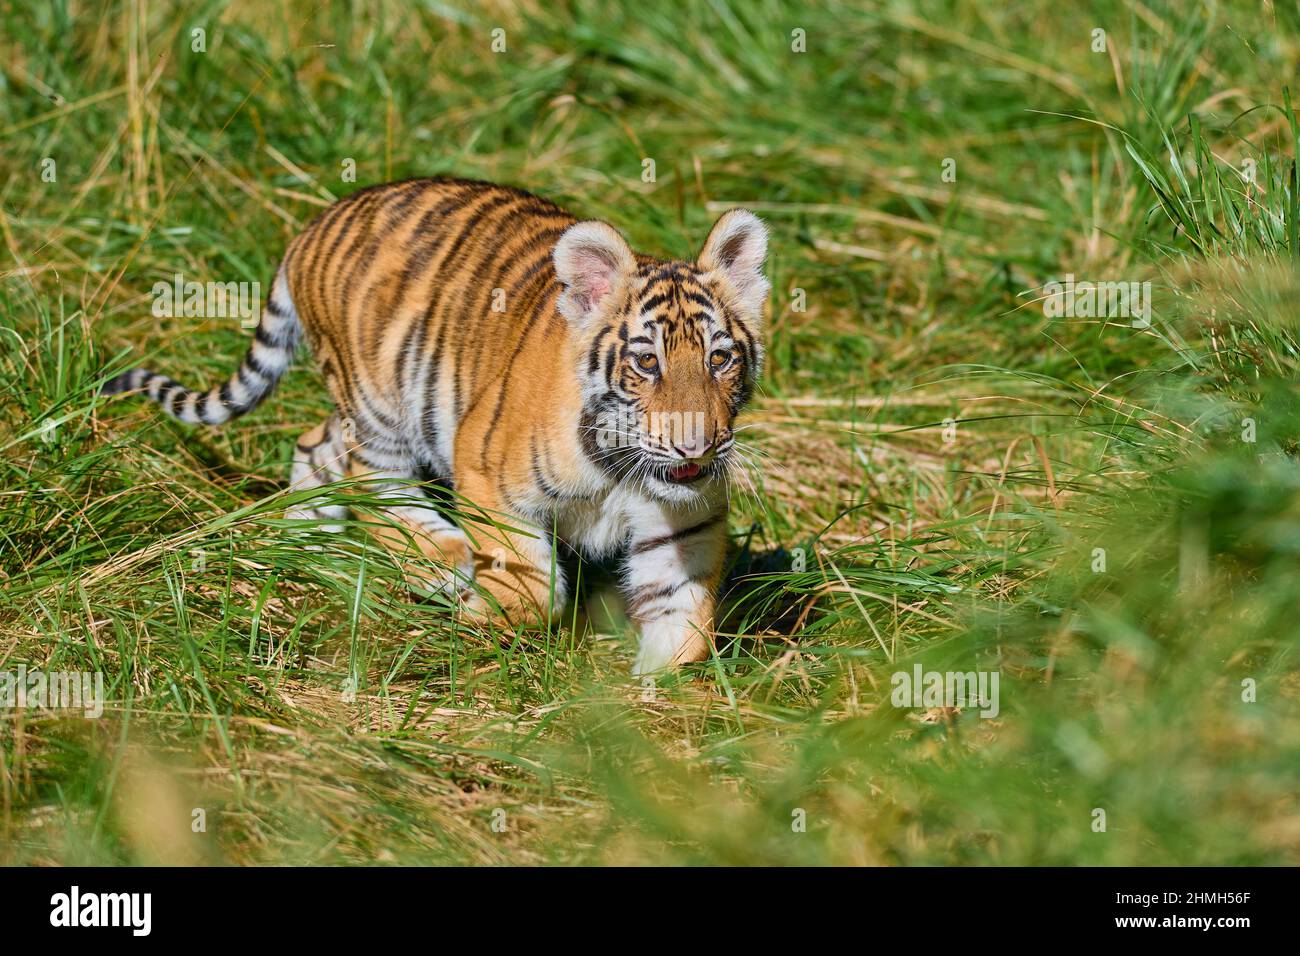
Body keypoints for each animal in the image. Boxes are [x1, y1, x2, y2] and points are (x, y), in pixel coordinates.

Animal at [103, 177, 770, 673]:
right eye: (646, 362)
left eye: (719, 359)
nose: (696, 445)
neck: (620, 469)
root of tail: (315, 224)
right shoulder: (485, 470)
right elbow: (532, 586)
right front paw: (483, 612)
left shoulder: (685, 522)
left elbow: (685, 625)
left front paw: (656, 704)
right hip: (379, 404)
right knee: (369, 484)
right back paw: (440, 557)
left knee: (315, 445)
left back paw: (308, 544)